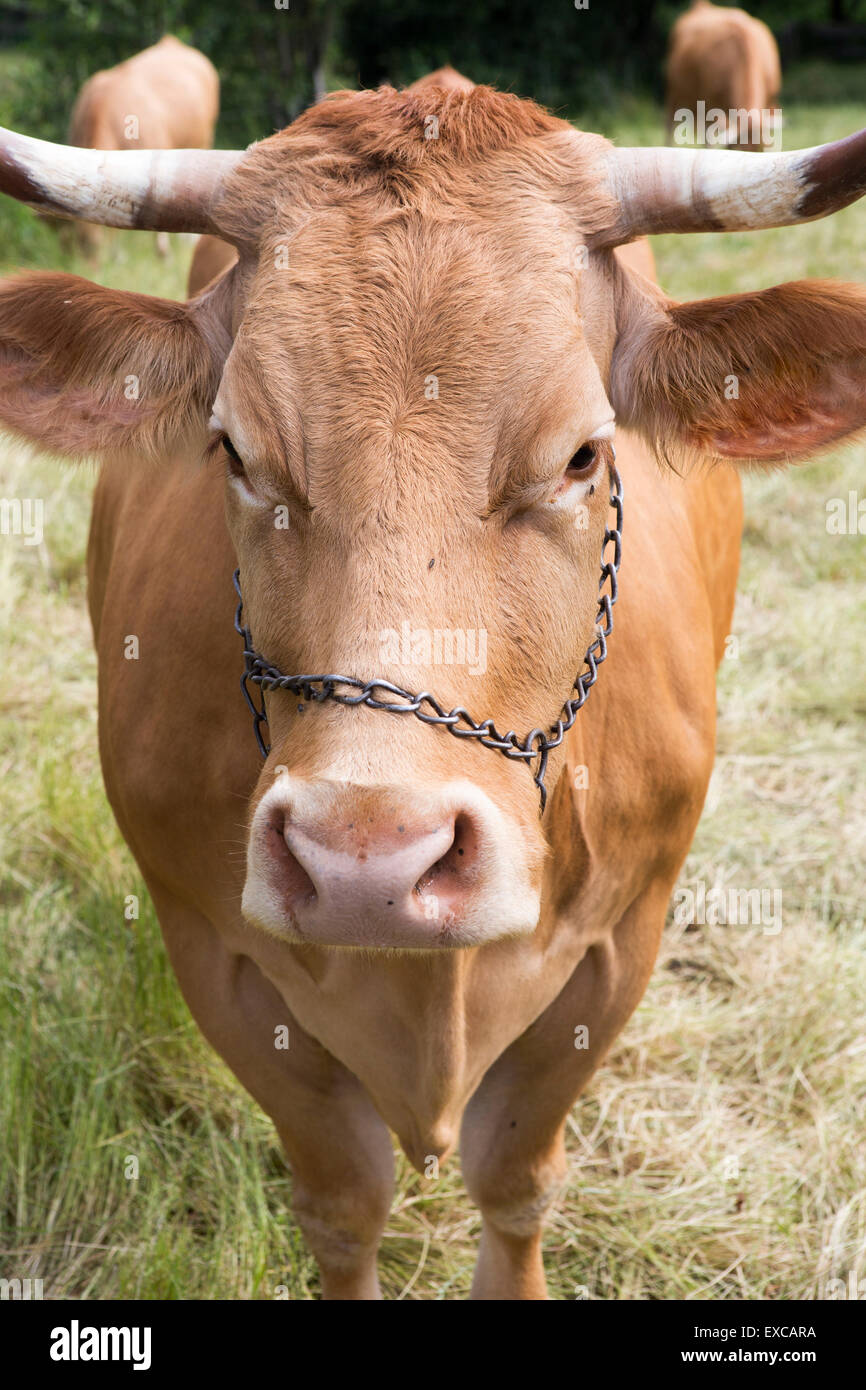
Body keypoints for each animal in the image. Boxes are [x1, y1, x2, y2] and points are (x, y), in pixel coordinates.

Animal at [1, 76, 865, 1300]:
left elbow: (516, 1178)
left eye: (581, 455)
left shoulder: (620, 945)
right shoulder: (210, 950)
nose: (367, 864)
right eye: (233, 451)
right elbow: (342, 1200)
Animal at [666, 1, 782, 150]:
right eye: (738, 148)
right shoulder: (710, 105)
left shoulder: (770, 101)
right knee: (669, 125)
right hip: (675, 91)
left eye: (760, 150)